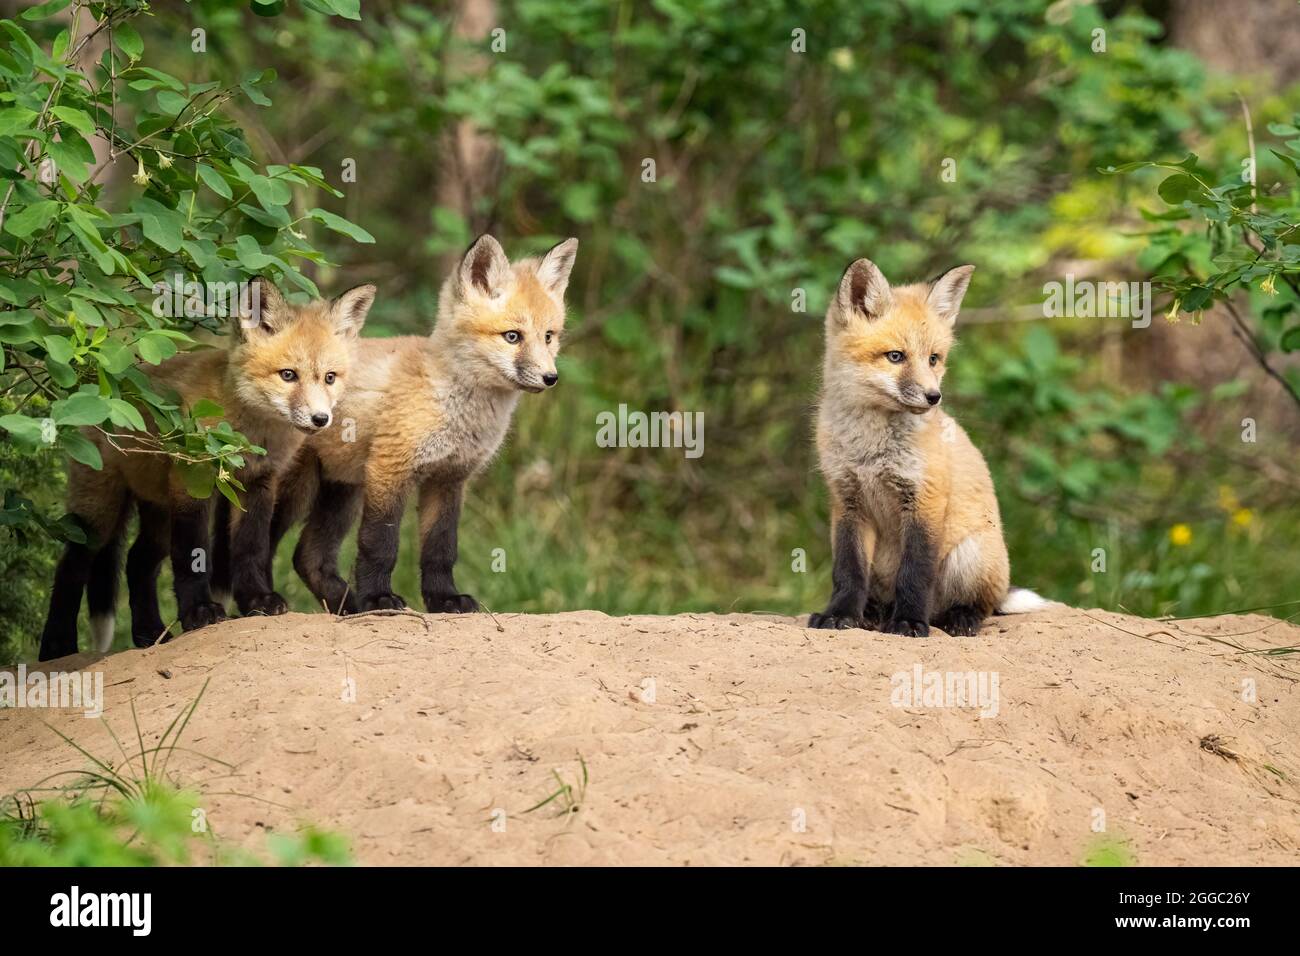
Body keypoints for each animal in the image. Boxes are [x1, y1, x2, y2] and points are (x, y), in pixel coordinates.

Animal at [37, 279, 374, 662]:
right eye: (288, 375)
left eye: (330, 377)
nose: (321, 419)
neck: (251, 431)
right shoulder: (193, 482)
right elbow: (193, 553)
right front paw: (199, 611)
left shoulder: (258, 483)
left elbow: (250, 546)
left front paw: (256, 600)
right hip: (99, 513)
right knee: (71, 568)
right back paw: (57, 647)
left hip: (156, 511)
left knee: (138, 562)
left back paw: (149, 634)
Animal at [260, 234, 577, 617]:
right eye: (512, 336)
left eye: (549, 336)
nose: (551, 378)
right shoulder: (390, 469)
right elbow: (379, 544)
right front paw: (379, 599)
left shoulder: (449, 478)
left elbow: (441, 549)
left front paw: (444, 599)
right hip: (296, 488)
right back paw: (256, 600)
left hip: (343, 489)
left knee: (308, 556)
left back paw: (347, 605)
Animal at [808, 257, 1048, 637]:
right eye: (895, 356)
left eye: (934, 358)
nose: (934, 397)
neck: (871, 449)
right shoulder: (846, 501)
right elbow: (847, 572)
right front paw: (841, 614)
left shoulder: (926, 497)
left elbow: (916, 573)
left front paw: (909, 622)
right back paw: (873, 613)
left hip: (970, 555)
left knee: (979, 606)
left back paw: (957, 618)